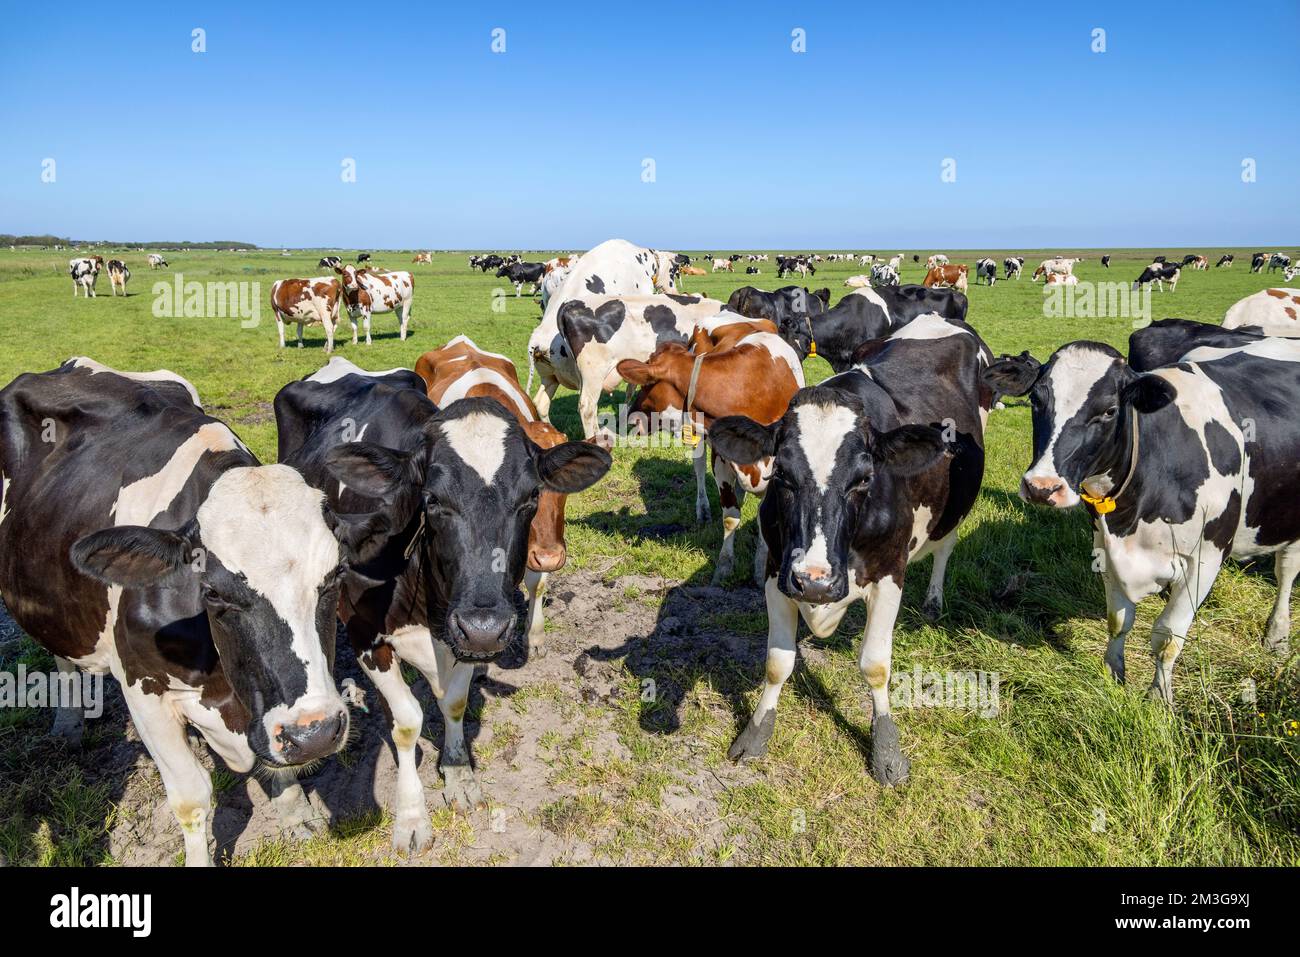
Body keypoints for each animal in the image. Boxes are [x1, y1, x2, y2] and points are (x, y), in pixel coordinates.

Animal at [0, 360, 358, 865]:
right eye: (212, 593)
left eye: (336, 574)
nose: (315, 733)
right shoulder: (143, 690)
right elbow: (191, 797)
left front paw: (294, 812)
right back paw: (68, 724)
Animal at [274, 362, 610, 853]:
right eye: (431, 500)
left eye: (531, 497)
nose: (485, 626)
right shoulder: (365, 633)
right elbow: (407, 723)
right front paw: (412, 818)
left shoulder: (471, 633)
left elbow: (454, 702)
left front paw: (458, 774)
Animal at [618, 330, 805, 583]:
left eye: (647, 385)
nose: (630, 414)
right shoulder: (721, 459)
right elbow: (730, 516)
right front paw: (724, 567)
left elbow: (763, 516)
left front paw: (759, 569)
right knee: (699, 471)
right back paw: (703, 509)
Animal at [706, 314, 990, 784]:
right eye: (781, 475)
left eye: (863, 478)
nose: (815, 583)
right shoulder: (777, 574)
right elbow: (777, 662)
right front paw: (755, 734)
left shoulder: (890, 575)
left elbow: (875, 665)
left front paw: (887, 752)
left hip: (956, 506)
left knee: (944, 548)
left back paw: (934, 599)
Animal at [981, 335, 1300, 705]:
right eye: (1036, 399)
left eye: (1109, 410)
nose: (1042, 487)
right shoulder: (1105, 548)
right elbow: (1118, 620)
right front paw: (1114, 675)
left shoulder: (1204, 559)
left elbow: (1167, 636)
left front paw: (1159, 697)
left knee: (1286, 571)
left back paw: (1277, 635)